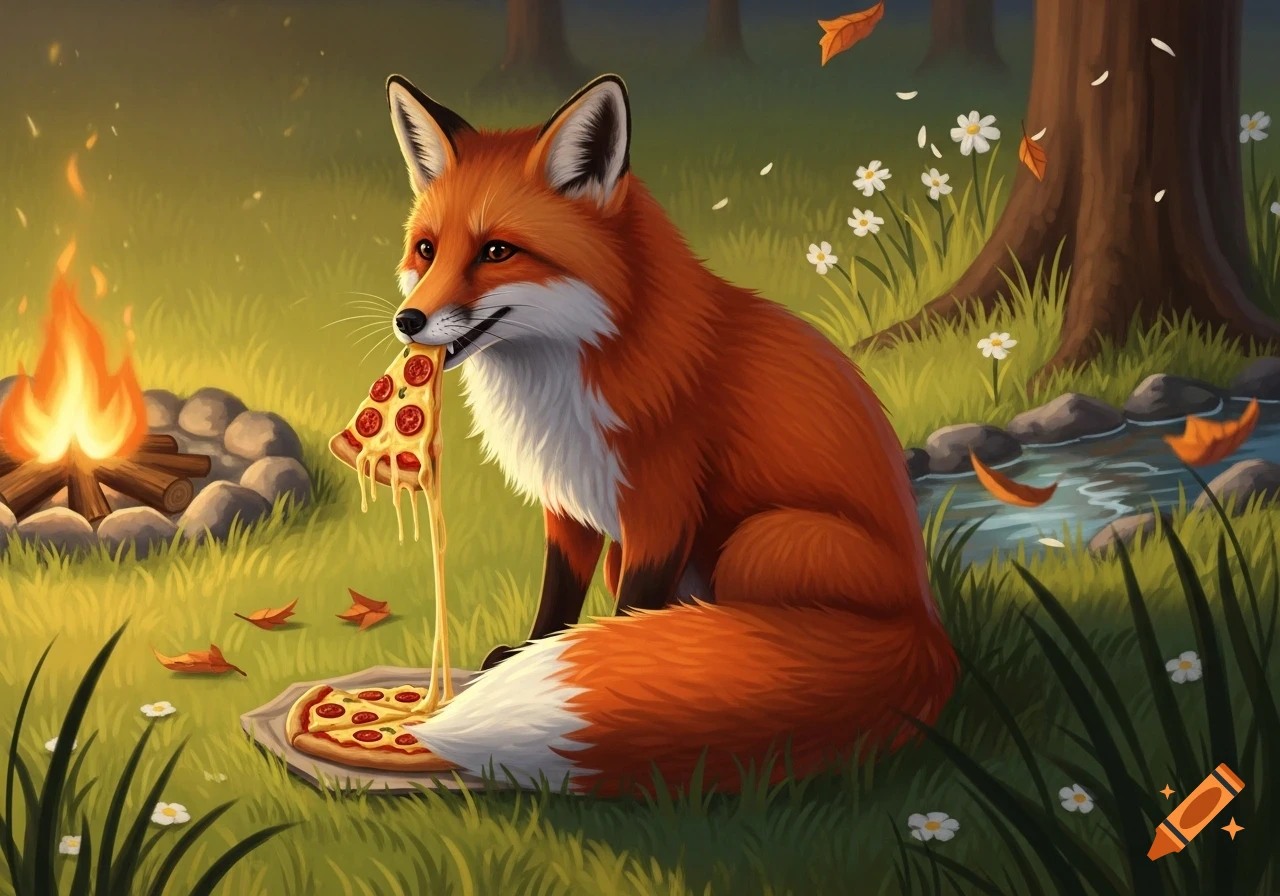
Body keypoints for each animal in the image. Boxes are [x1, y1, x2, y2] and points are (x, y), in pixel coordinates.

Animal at [387, 72, 957, 796]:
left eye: (497, 251)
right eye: (427, 249)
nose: (408, 320)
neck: (566, 372)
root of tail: (927, 629)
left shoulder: (660, 507)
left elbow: (629, 612)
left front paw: (626, 676)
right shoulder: (569, 501)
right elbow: (558, 595)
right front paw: (528, 654)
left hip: (762, 540)